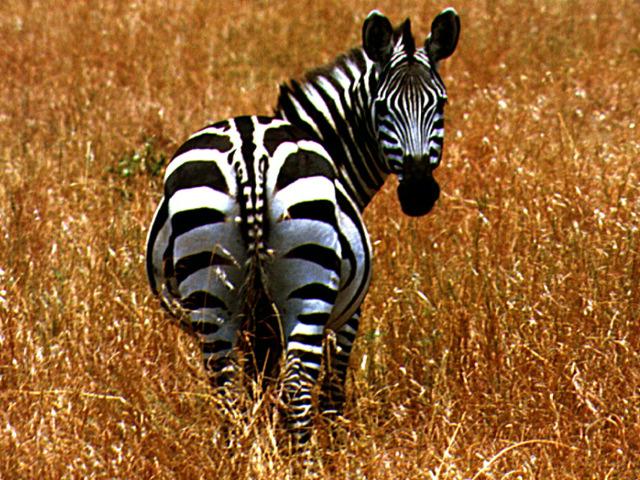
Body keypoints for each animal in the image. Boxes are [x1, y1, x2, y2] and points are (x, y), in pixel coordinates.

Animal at [146, 8, 460, 443]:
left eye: (440, 104)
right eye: (382, 107)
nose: (418, 192)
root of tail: (249, 151)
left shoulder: (259, 324)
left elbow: (259, 381)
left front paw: (265, 439)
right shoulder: (348, 316)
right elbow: (332, 385)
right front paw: (334, 440)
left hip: (210, 287)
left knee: (225, 385)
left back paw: (237, 450)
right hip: (310, 285)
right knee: (297, 385)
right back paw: (307, 454)